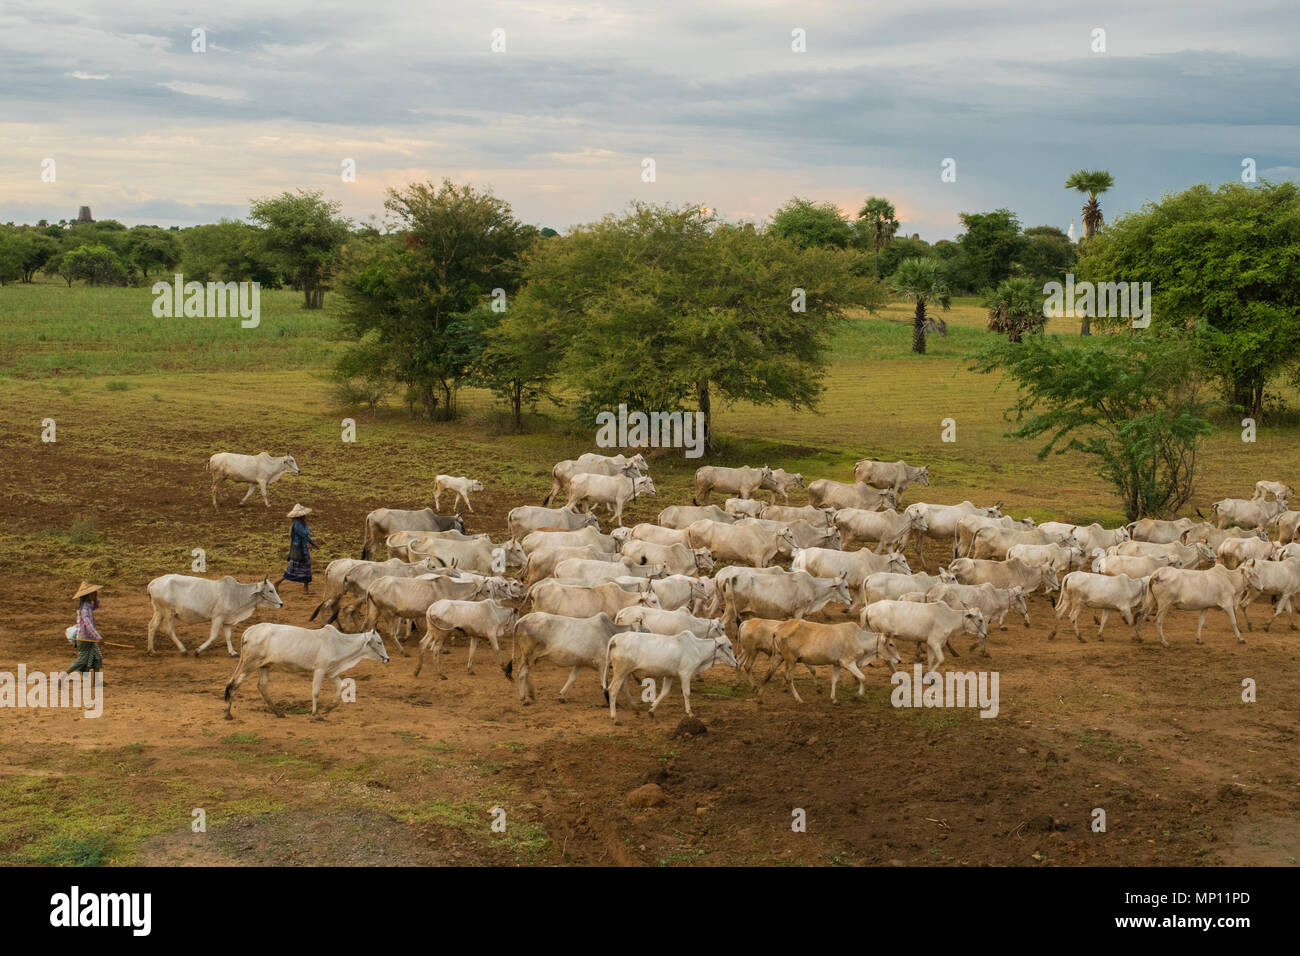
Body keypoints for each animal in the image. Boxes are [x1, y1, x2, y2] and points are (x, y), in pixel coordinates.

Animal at [147, 574, 283, 656]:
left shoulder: (227, 621)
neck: (237, 594)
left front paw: (232, 652)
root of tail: (154, 582)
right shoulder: (218, 617)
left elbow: (228, 636)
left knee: (152, 626)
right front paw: (198, 650)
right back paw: (183, 649)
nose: (281, 604)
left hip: (159, 611)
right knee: (169, 629)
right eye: (270, 590)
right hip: (168, 612)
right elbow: (213, 636)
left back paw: (151, 650)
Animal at [224, 624, 388, 718]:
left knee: (261, 686)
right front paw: (316, 714)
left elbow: (341, 686)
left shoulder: (331, 672)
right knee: (235, 683)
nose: (387, 658)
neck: (339, 643)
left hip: (264, 666)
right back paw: (228, 713)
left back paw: (278, 712)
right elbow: (315, 692)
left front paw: (328, 708)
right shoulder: (320, 669)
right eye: (379, 642)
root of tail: (249, 631)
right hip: (250, 663)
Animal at [603, 631, 737, 720]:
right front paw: (690, 713)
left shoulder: (669, 675)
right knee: (613, 689)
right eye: (730, 646)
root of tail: (616, 638)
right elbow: (687, 693)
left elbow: (664, 692)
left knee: (623, 688)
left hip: (625, 672)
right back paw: (614, 717)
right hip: (621, 671)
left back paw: (635, 708)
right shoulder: (685, 673)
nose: (736, 663)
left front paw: (651, 710)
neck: (697, 649)